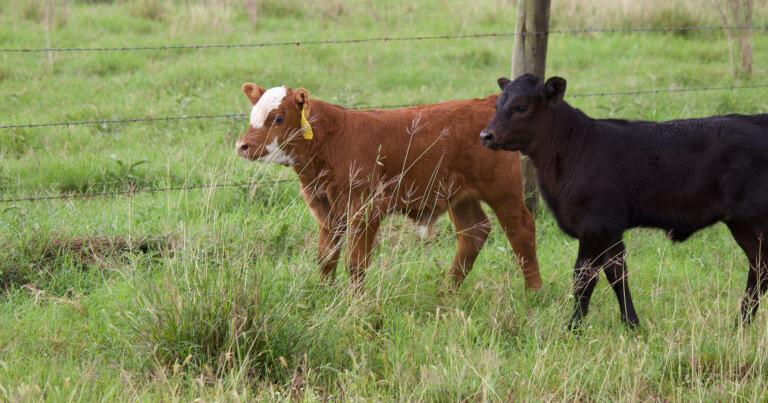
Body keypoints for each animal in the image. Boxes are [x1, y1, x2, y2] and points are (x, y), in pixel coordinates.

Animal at [235, 83, 542, 292]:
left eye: (277, 117)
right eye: (253, 114)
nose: (243, 145)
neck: (332, 141)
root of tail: (484, 103)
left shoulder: (365, 209)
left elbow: (356, 263)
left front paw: (355, 302)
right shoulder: (326, 210)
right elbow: (326, 258)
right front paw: (324, 294)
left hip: (503, 191)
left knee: (521, 231)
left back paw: (533, 292)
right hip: (460, 196)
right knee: (473, 233)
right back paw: (446, 292)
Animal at [480, 73, 768, 328]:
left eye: (521, 106)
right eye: (497, 104)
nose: (486, 135)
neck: (573, 149)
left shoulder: (594, 224)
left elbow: (584, 277)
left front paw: (573, 327)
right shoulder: (610, 228)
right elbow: (616, 273)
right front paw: (631, 323)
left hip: (754, 220)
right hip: (742, 224)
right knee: (759, 269)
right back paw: (740, 325)